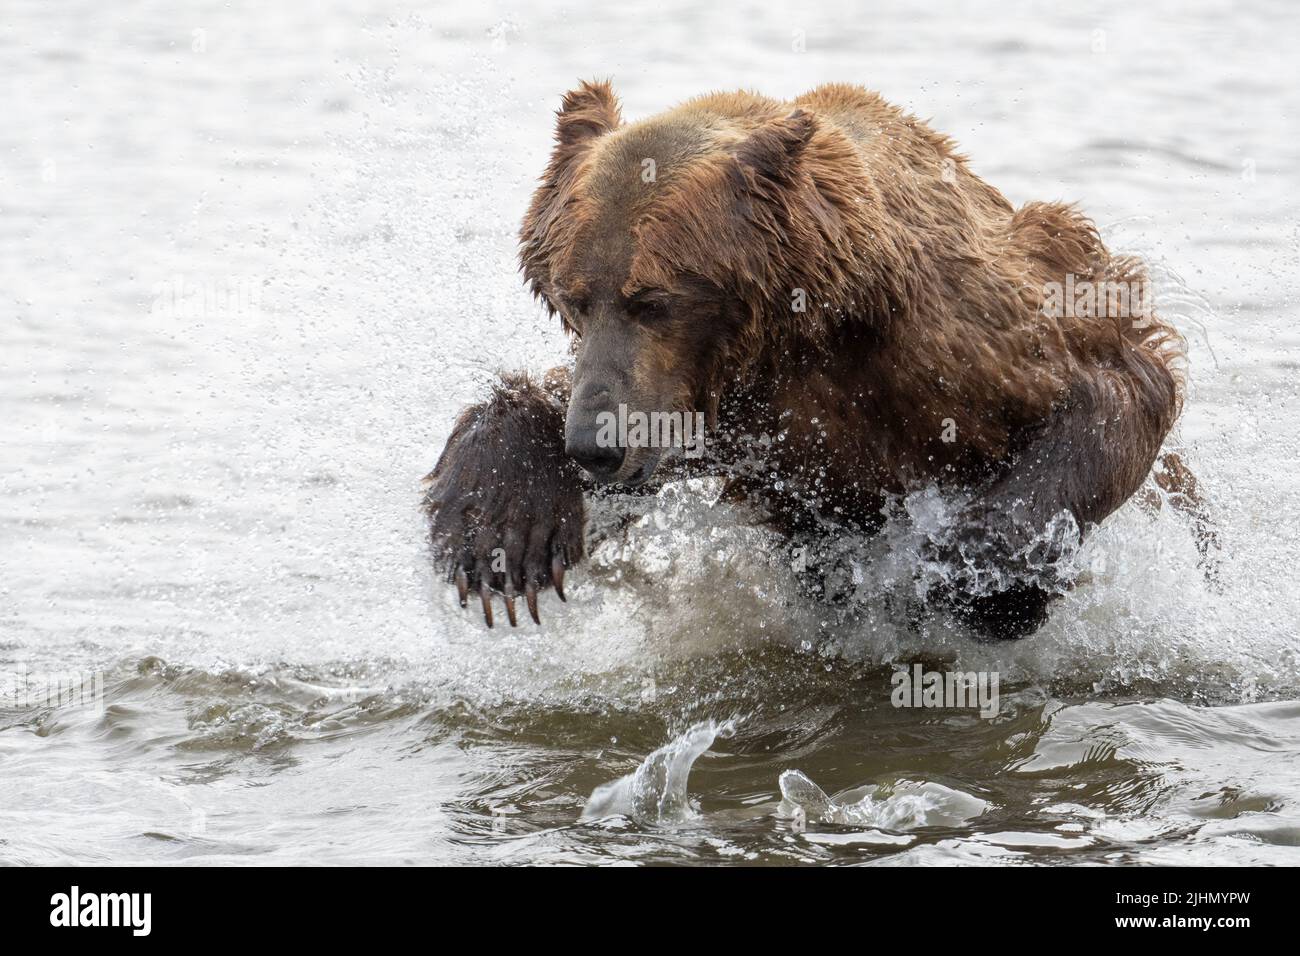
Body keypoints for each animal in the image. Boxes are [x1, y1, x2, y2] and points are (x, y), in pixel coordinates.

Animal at [422, 80, 1208, 639]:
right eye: (571, 296)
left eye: (654, 298)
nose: (593, 445)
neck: (805, 325)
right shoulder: (725, 414)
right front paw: (502, 533)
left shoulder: (966, 335)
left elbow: (1115, 381)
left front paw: (980, 573)